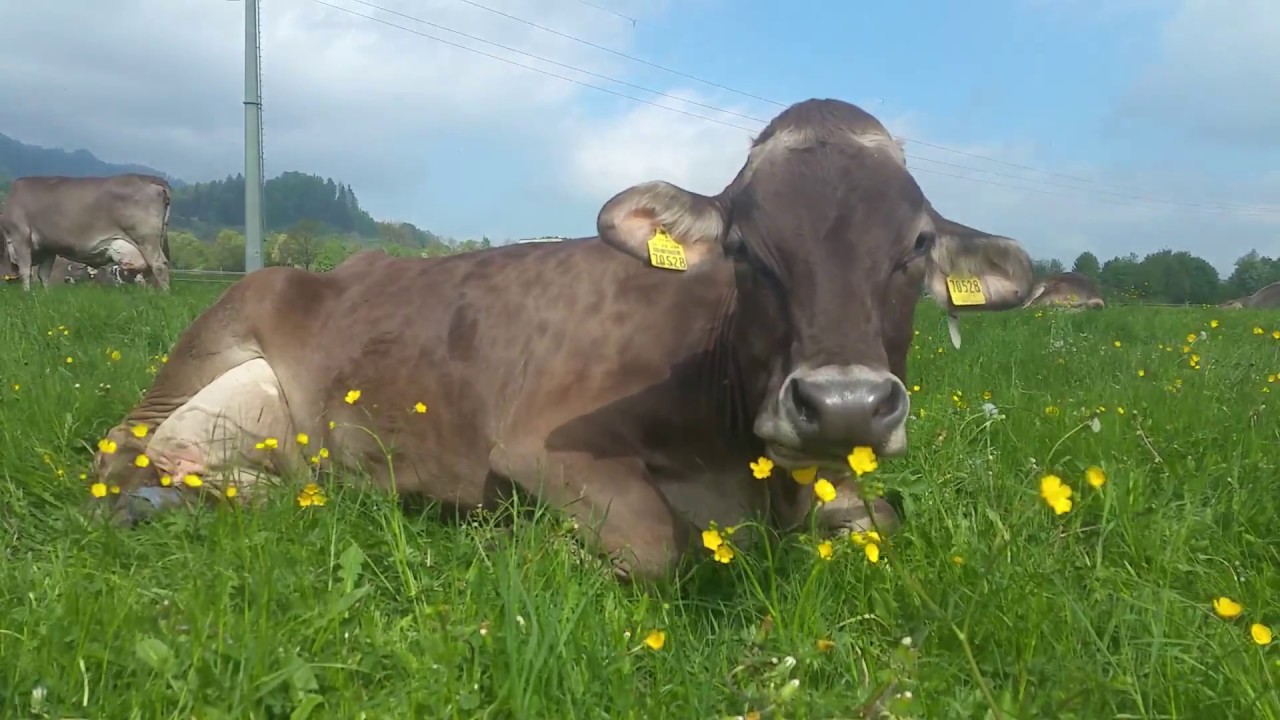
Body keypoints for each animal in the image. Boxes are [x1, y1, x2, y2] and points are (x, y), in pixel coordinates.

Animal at [0, 173, 172, 291]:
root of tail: (151, 178)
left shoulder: (20, 236)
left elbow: (25, 270)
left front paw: (27, 294)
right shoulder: (48, 247)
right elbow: (43, 275)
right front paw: (45, 295)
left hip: (146, 239)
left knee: (159, 265)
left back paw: (164, 295)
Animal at [90, 98, 1034, 583]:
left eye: (917, 245)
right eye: (744, 248)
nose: (842, 404)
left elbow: (889, 513)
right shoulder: (539, 444)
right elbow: (657, 547)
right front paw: (525, 539)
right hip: (208, 346)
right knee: (116, 459)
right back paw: (161, 501)